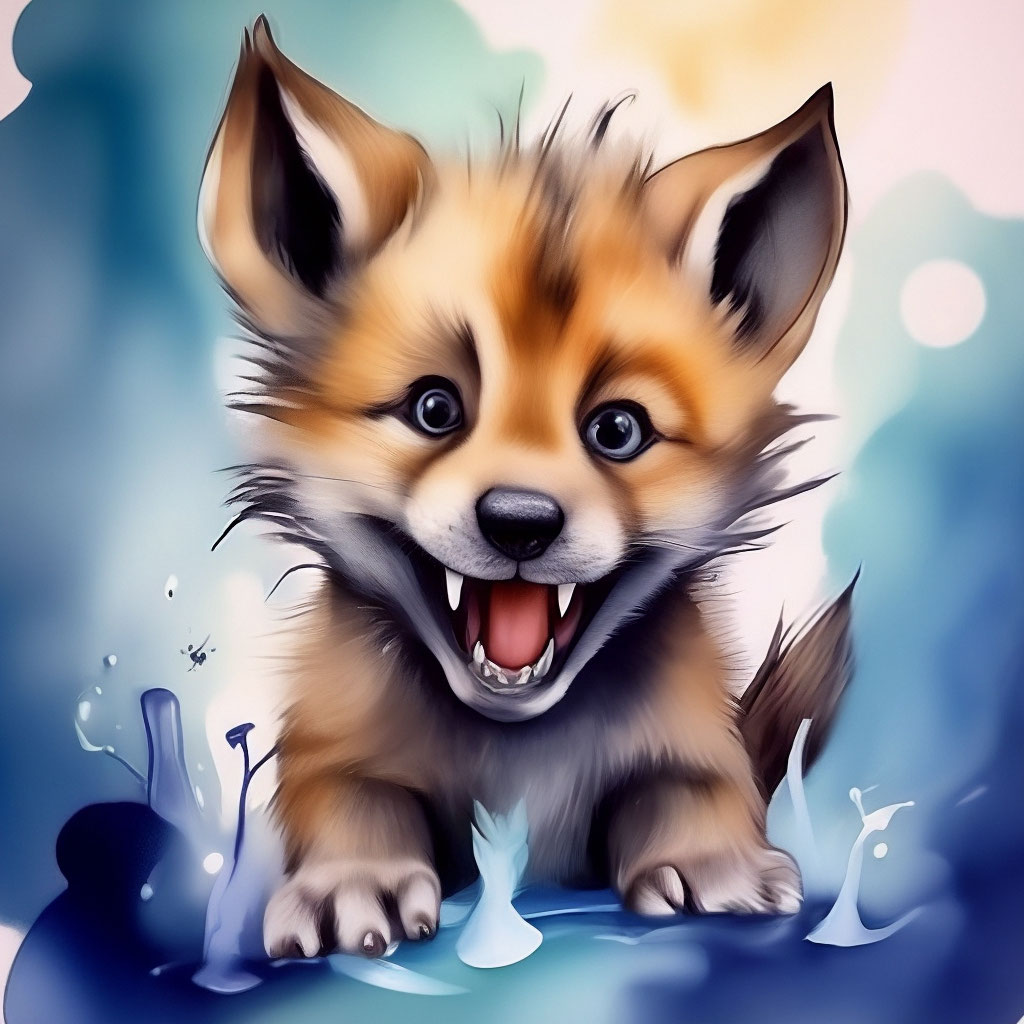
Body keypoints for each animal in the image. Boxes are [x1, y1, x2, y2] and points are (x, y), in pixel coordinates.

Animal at [198, 17, 854, 959]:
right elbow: (351, 797)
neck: (516, 742)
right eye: (435, 409)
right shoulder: (330, 744)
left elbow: (693, 786)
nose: (519, 523)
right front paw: (352, 880)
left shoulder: (695, 736)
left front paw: (707, 859)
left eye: (617, 431)